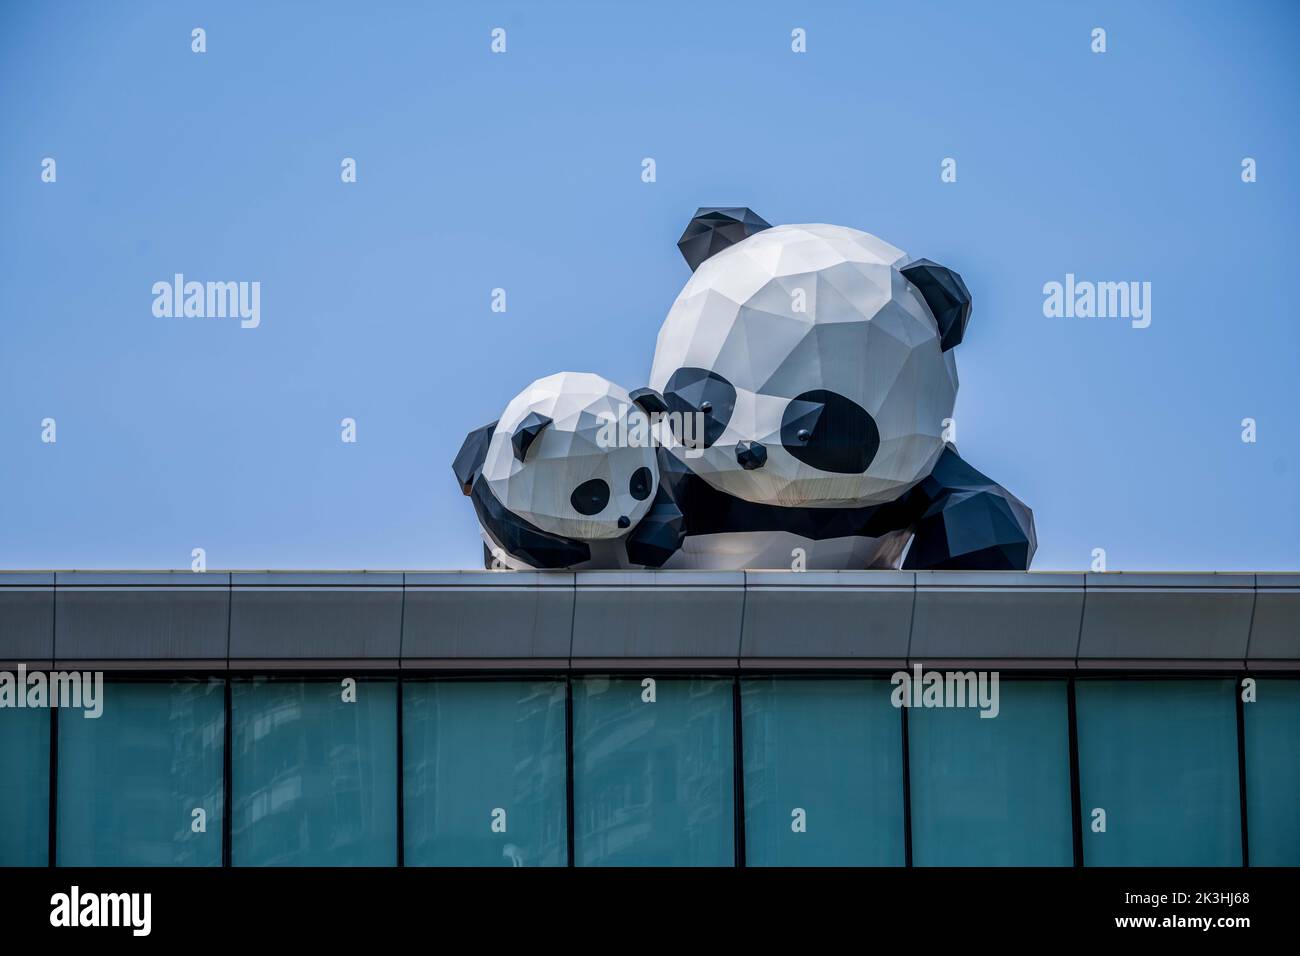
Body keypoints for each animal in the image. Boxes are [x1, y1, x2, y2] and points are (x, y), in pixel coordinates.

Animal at [452, 371, 684, 570]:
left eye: (640, 485)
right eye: (592, 496)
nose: (624, 520)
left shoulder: (660, 458)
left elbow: (669, 495)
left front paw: (650, 543)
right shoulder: (487, 481)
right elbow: (510, 530)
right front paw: (573, 550)